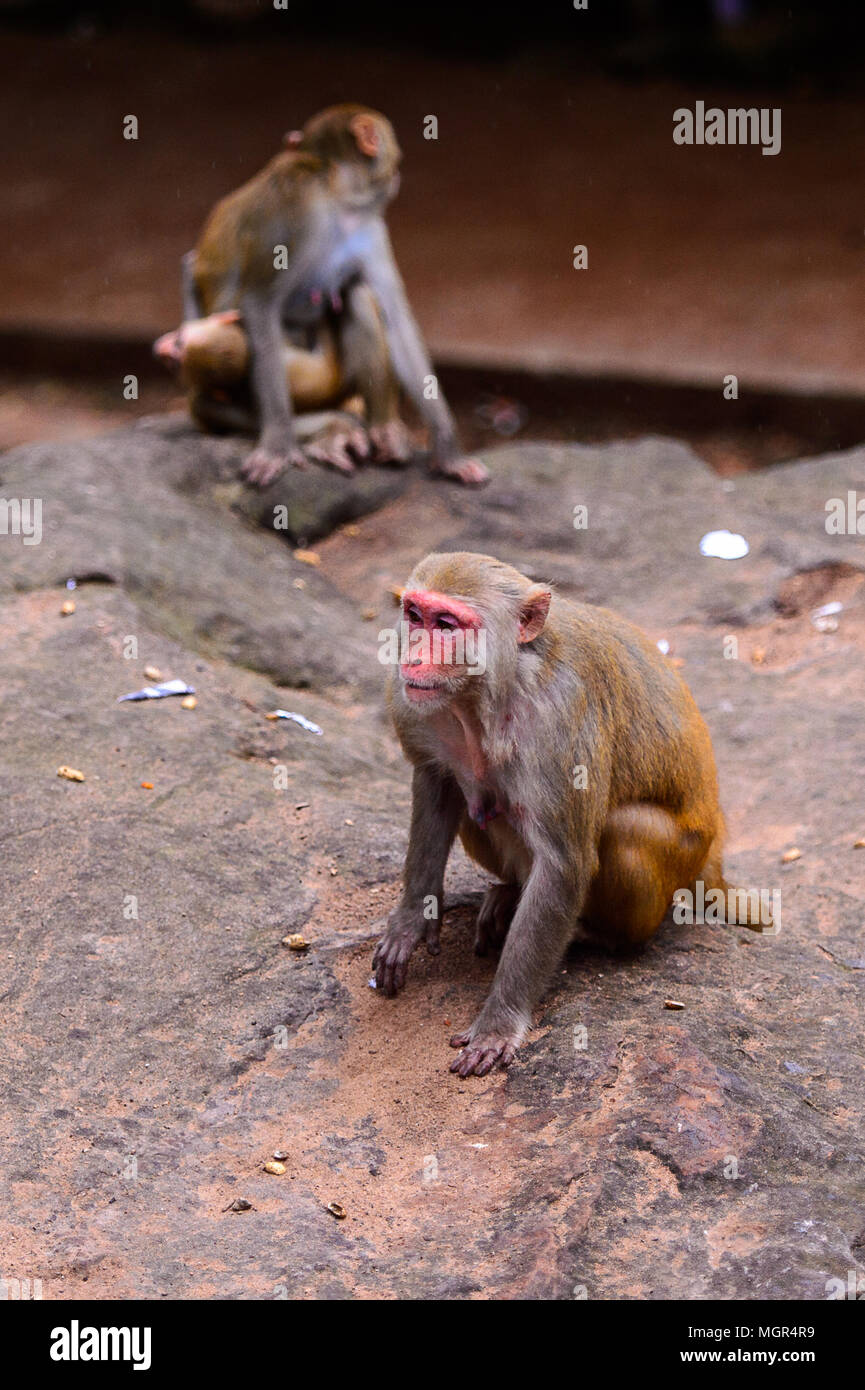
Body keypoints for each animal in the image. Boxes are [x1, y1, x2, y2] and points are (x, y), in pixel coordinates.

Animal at [177, 104, 488, 488]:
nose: (396, 173)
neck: (339, 196)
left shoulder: (369, 229)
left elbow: (398, 321)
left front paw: (449, 453)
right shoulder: (297, 206)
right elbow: (259, 303)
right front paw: (278, 445)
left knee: (357, 294)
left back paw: (380, 429)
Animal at [373, 552, 769, 1077]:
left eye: (447, 624)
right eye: (415, 615)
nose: (412, 656)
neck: (484, 695)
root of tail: (713, 859)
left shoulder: (558, 719)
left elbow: (563, 866)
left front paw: (500, 1022)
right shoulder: (416, 705)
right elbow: (436, 786)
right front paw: (411, 921)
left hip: (678, 864)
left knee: (623, 833)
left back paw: (598, 935)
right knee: (478, 803)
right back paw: (508, 892)